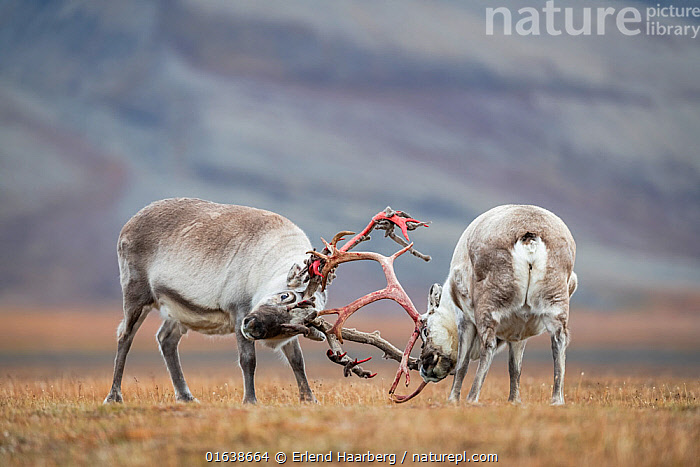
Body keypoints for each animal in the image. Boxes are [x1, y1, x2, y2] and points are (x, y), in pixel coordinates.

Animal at [103, 198, 328, 405]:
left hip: (178, 311)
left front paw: (309, 399)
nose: (254, 326)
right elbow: (248, 360)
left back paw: (185, 396)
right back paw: (114, 396)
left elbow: (297, 359)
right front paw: (250, 400)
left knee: (165, 339)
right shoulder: (240, 311)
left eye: (295, 327)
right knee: (125, 335)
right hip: (136, 295)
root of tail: (130, 223)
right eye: (284, 296)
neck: (268, 269)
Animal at [416, 205, 578, 405]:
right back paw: (557, 399)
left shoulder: (464, 319)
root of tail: (530, 235)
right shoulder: (520, 330)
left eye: (425, 329)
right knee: (559, 340)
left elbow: (462, 364)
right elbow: (515, 368)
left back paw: (472, 397)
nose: (424, 367)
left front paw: (452, 399)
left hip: (489, 304)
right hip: (555, 301)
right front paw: (514, 400)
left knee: (488, 344)